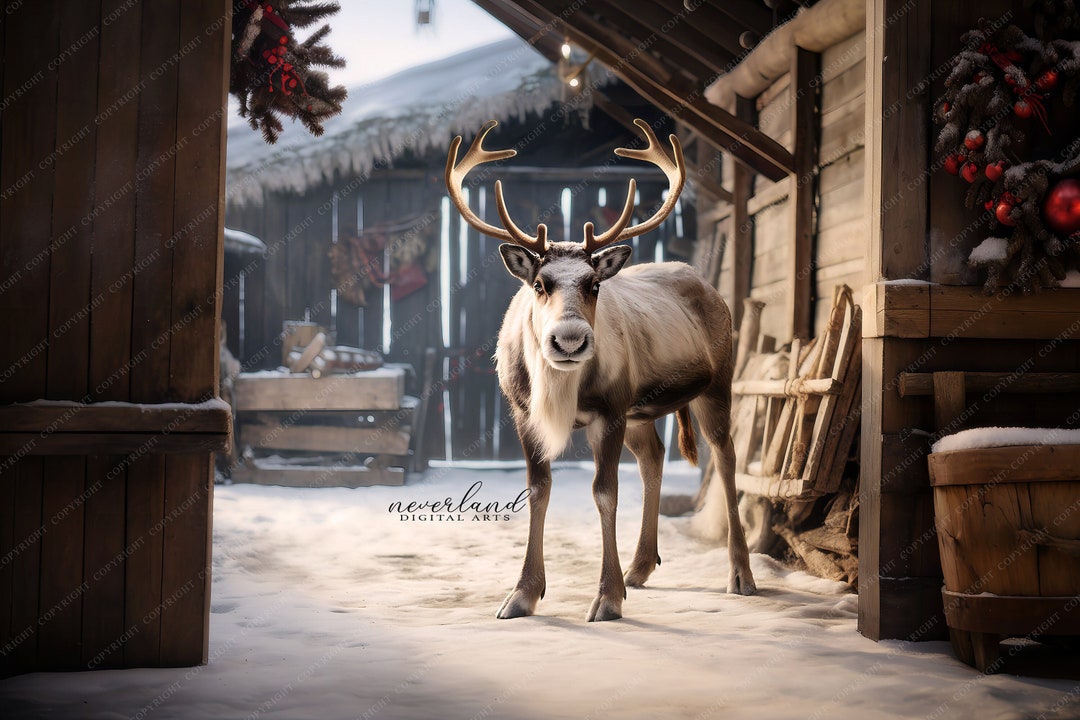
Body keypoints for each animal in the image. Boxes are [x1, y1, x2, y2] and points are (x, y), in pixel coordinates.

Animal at [445, 119, 756, 622]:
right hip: (641, 411)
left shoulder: (609, 410)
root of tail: (707, 284)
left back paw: (740, 575)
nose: (570, 339)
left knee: (725, 459)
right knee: (653, 459)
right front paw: (522, 595)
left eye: (593, 285)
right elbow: (538, 490)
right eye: (539, 283)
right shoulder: (523, 413)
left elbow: (604, 491)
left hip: (716, 384)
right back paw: (640, 568)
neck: (559, 390)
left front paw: (607, 598)